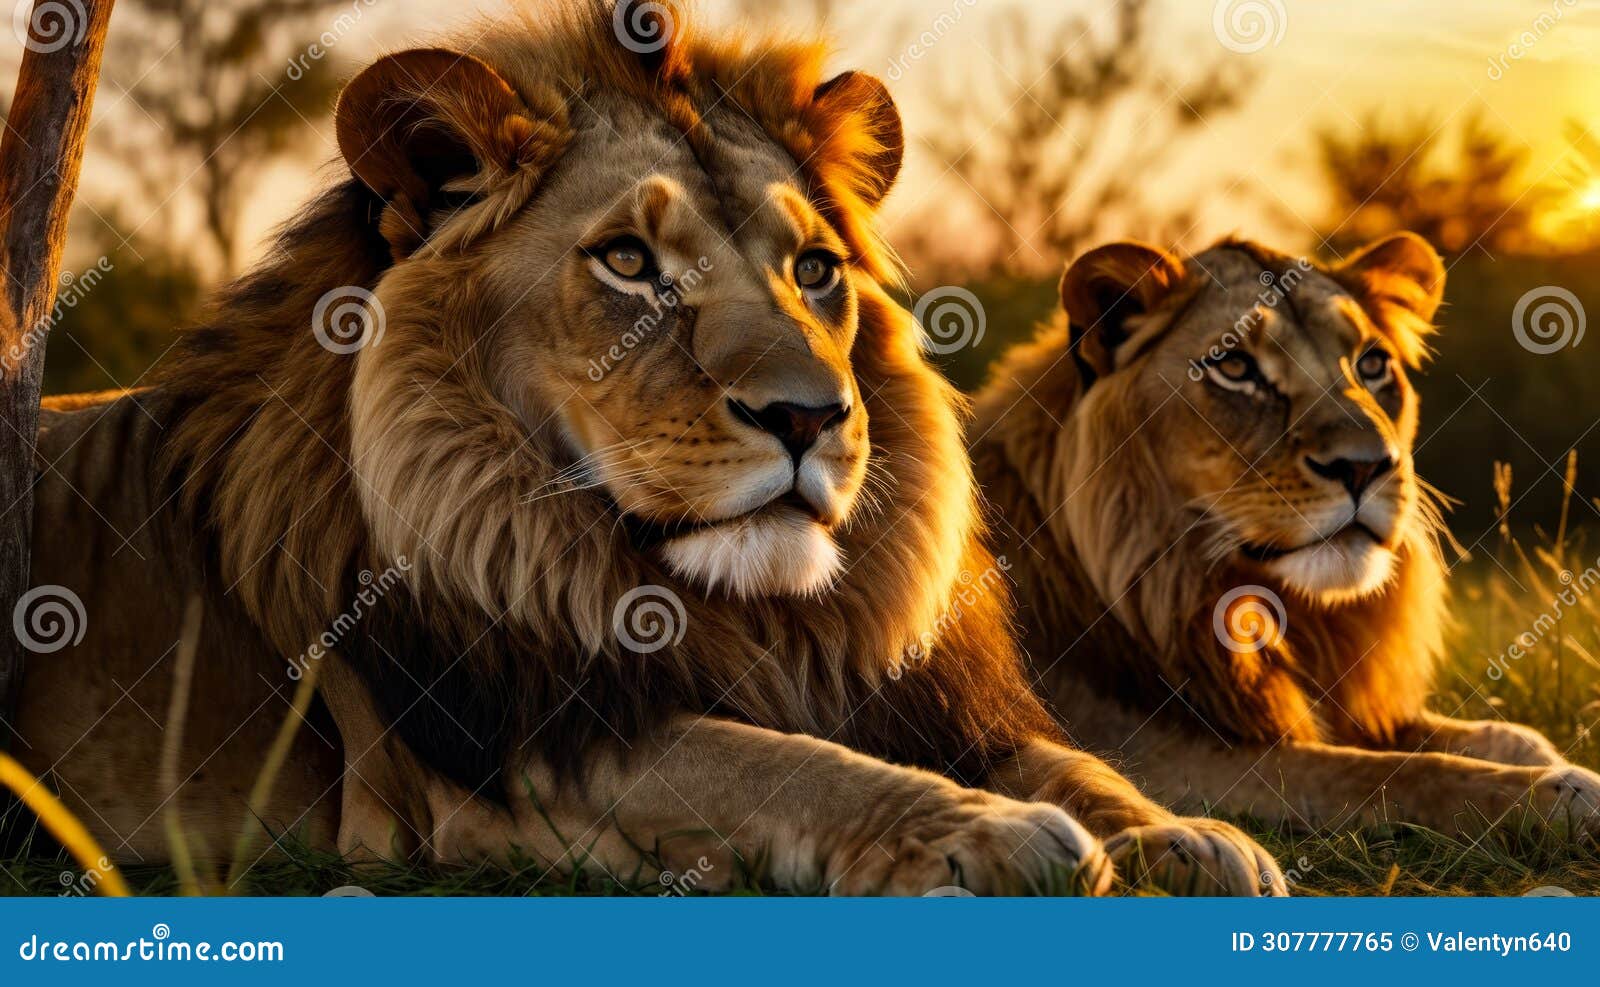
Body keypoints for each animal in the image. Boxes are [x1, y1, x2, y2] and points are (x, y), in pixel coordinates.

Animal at [11, 2, 1284, 895]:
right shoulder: (493, 773)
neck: (747, 615)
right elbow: (772, 763)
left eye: (813, 269)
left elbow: (1075, 763)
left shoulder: (910, 693)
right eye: (628, 262)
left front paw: (1189, 837)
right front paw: (980, 832)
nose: (809, 418)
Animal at [971, 233, 1600, 842]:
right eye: (1234, 367)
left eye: (1374, 364)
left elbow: (1499, 732)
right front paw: (1556, 795)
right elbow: (1387, 773)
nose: (1365, 466)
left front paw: (1550, 760)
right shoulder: (1146, 750)